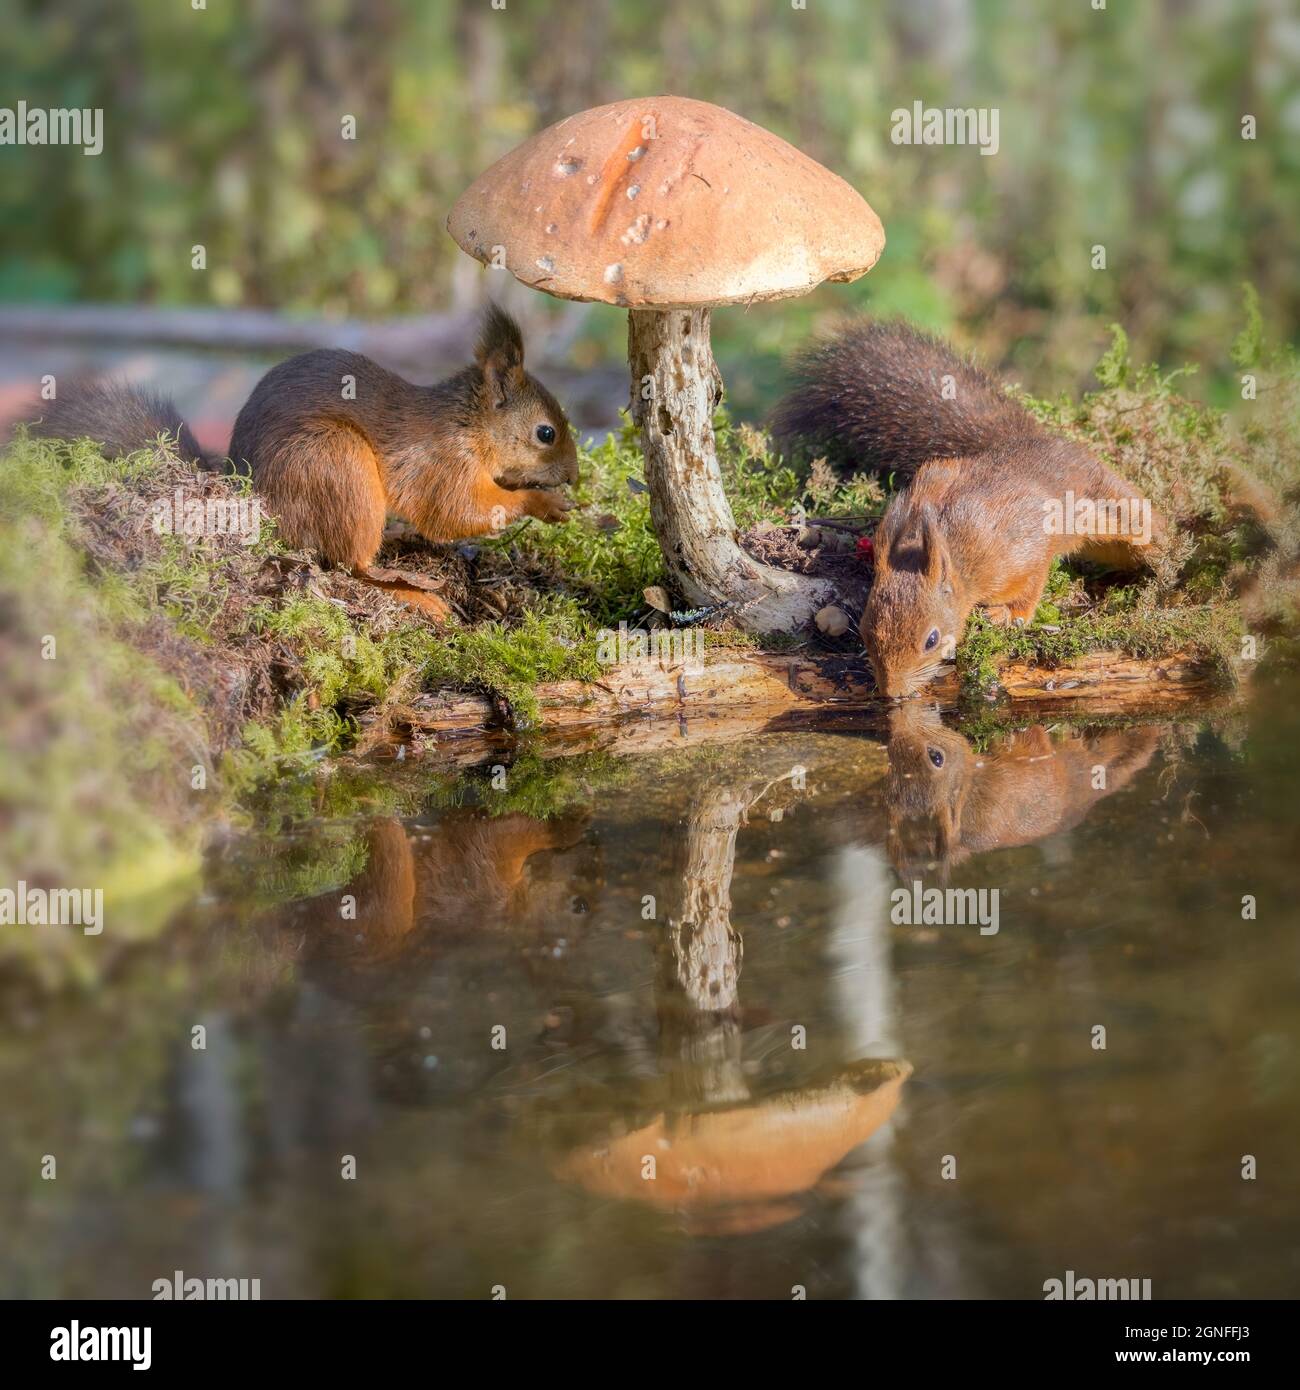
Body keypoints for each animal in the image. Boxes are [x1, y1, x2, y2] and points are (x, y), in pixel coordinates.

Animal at [29, 305, 579, 613]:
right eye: (545, 433)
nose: (573, 476)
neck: (469, 425)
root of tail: (246, 490)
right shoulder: (440, 463)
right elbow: (454, 512)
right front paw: (542, 503)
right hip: (335, 462)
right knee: (353, 567)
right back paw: (413, 589)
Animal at [773, 321, 1166, 696]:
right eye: (869, 630)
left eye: (931, 640)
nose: (892, 694)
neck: (955, 557)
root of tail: (1025, 441)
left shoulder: (1022, 548)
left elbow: (1032, 583)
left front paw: (1009, 615)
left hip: (1109, 508)